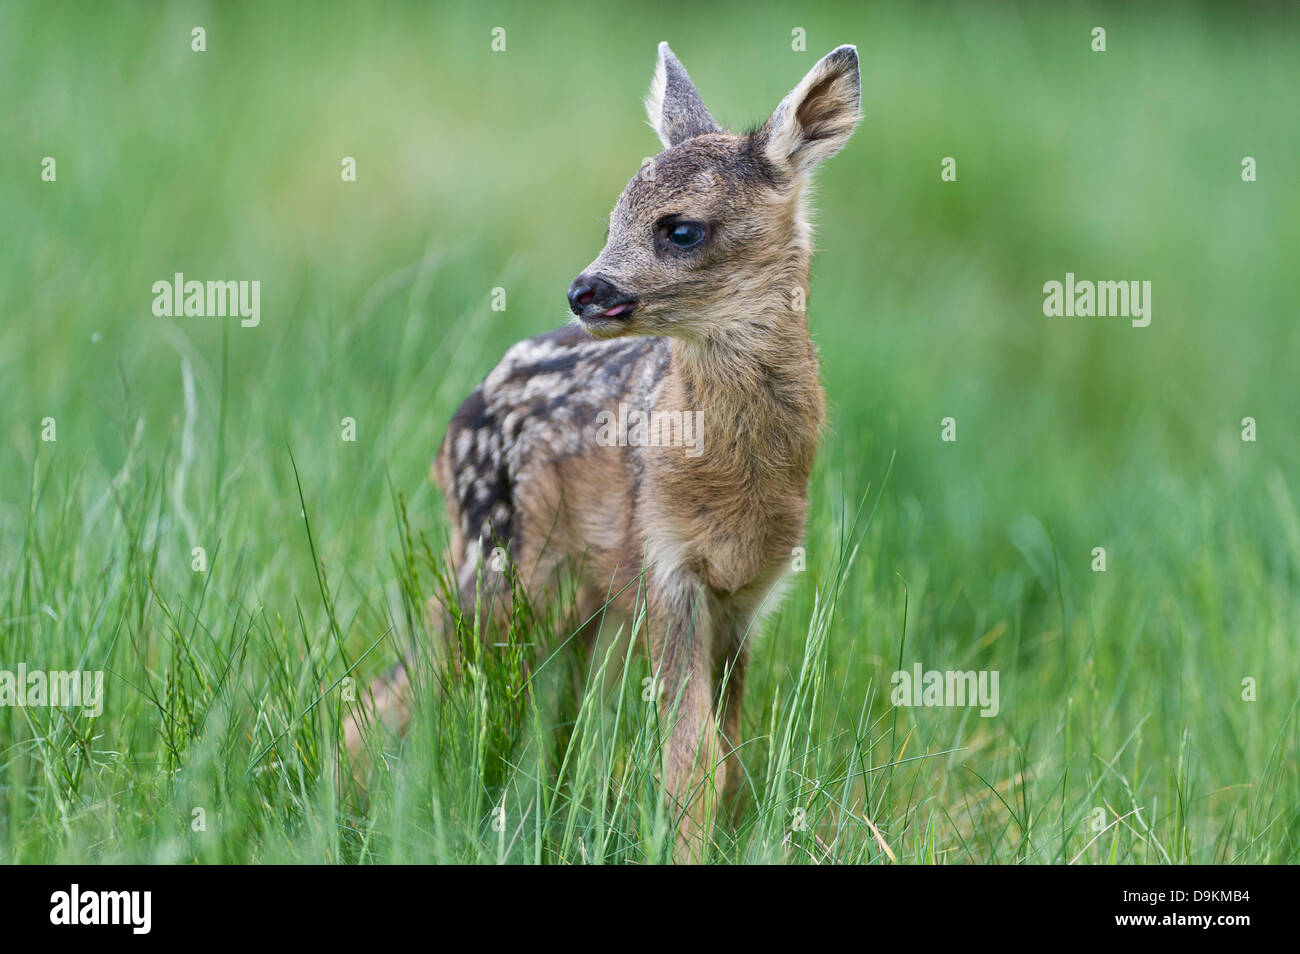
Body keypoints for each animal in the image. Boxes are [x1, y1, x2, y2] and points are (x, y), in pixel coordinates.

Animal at [345, 41, 861, 860]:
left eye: (680, 230)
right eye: (614, 216)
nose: (584, 289)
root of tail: (456, 423)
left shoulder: (747, 594)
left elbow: (730, 753)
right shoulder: (665, 565)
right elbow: (690, 757)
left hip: (572, 603)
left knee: (544, 717)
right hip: (498, 563)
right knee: (394, 689)